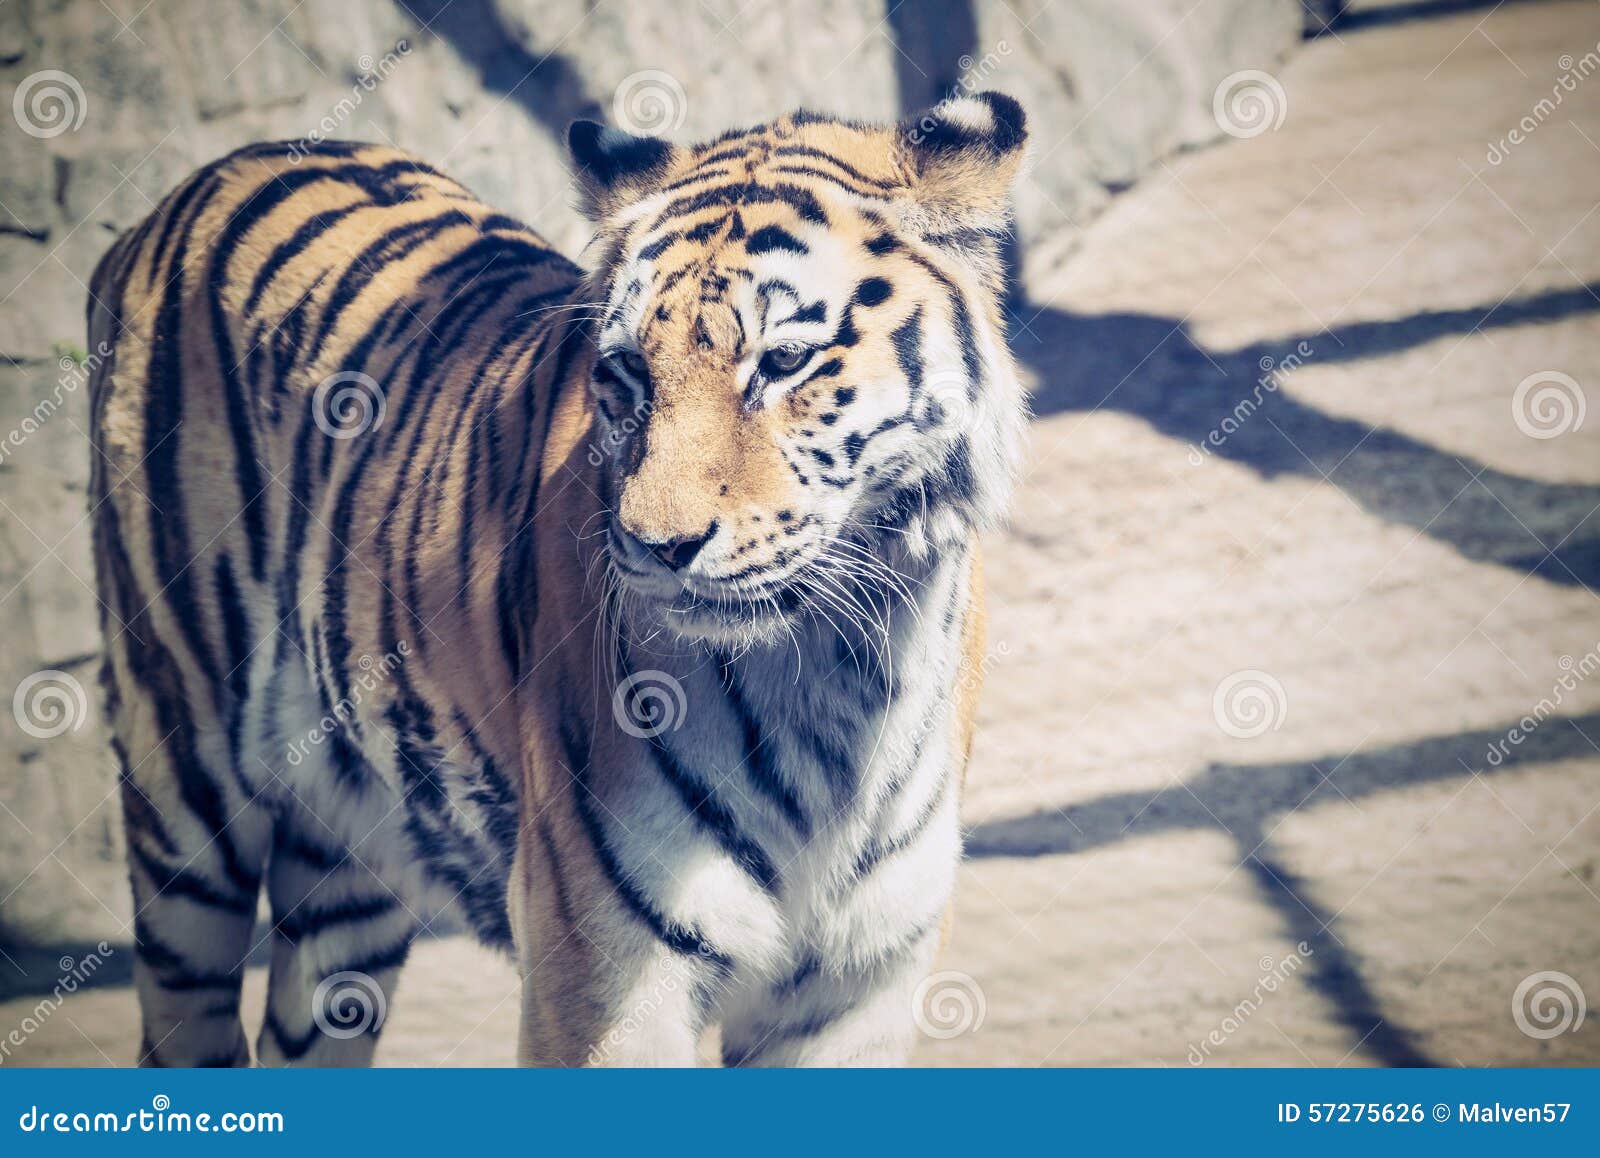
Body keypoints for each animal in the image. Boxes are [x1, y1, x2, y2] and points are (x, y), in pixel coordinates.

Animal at [85, 89, 1028, 1067]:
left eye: (781, 362)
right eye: (629, 372)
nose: (657, 544)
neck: (835, 670)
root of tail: (208, 176)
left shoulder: (858, 984)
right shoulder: (604, 970)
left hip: (351, 859)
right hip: (183, 793)